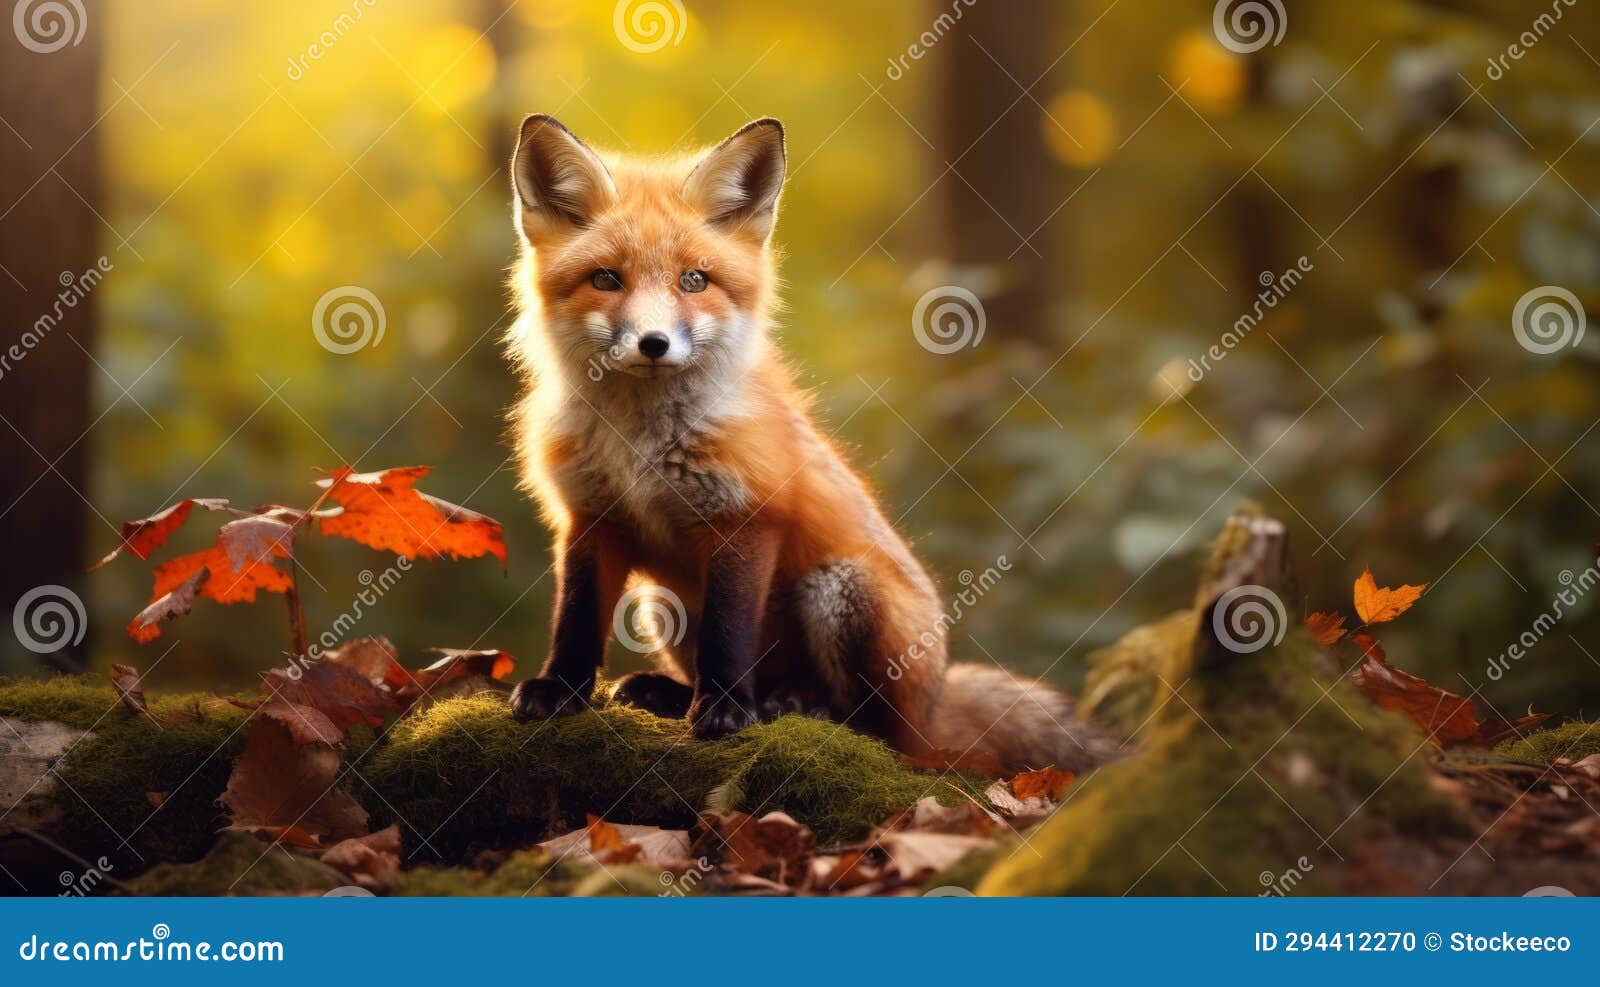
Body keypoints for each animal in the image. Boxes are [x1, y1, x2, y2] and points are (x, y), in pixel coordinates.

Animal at [503, 113, 1113, 773]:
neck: (639, 443)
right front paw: (560, 690)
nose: (654, 343)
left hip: (843, 590)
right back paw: (680, 694)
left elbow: (727, 635)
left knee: (877, 732)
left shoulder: (746, 516)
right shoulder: (591, 515)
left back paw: (796, 707)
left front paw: (726, 709)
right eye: (606, 280)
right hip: (658, 603)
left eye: (694, 280)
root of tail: (934, 706)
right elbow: (576, 619)